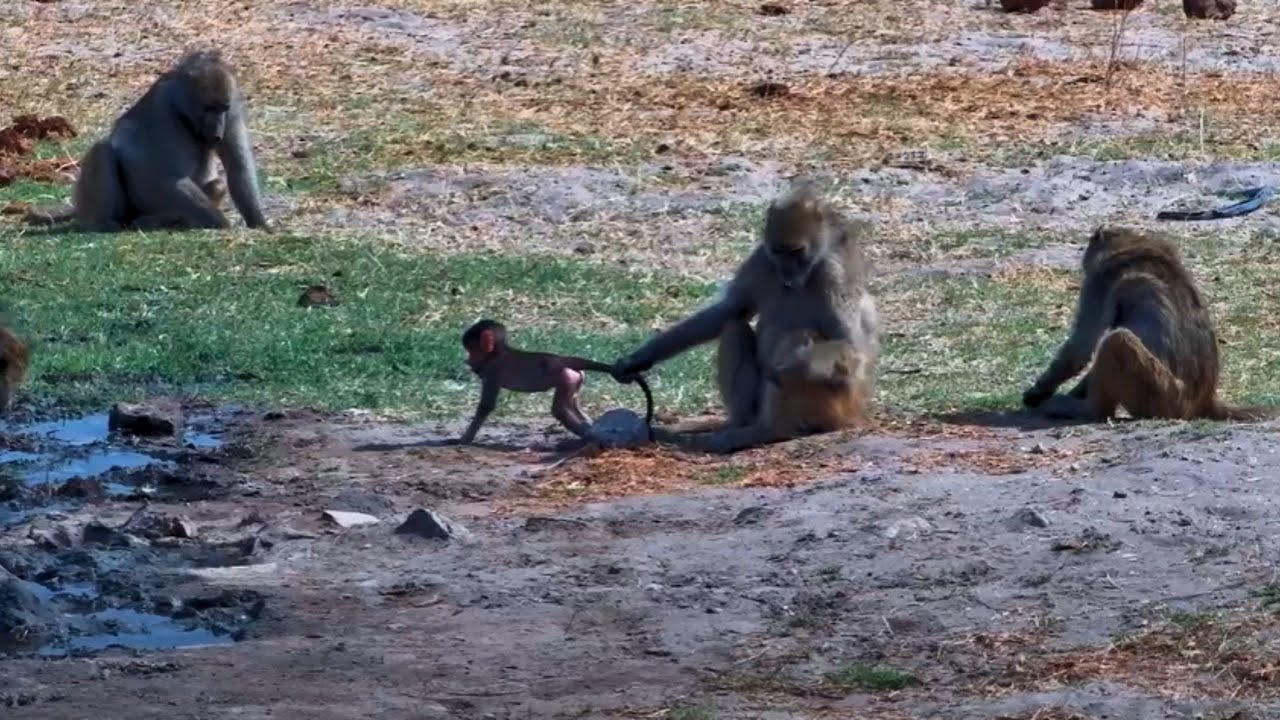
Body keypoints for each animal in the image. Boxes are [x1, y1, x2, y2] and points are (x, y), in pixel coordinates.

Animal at [25, 49, 267, 232]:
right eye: (208, 108)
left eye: (222, 108)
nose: (217, 132)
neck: (184, 108)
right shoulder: (165, 110)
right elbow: (168, 176)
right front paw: (223, 223)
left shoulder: (234, 108)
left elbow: (237, 167)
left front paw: (260, 224)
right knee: (103, 150)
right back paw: (106, 223)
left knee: (217, 185)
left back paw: (162, 219)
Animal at [454, 319, 653, 445]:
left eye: (472, 350)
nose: (468, 360)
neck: (499, 352)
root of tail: (561, 360)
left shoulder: (493, 371)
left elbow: (486, 406)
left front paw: (464, 439)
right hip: (576, 379)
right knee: (572, 405)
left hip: (566, 377)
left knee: (559, 409)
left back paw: (588, 437)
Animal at [613, 182, 878, 453]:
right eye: (779, 252)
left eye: (796, 252)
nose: (787, 274)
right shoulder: (762, 258)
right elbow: (730, 310)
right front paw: (638, 359)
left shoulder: (833, 274)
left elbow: (848, 345)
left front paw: (795, 364)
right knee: (735, 327)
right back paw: (740, 426)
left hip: (837, 406)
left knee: (802, 341)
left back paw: (769, 430)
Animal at [1023, 226, 1269, 422]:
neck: (1132, 245)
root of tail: (1204, 400)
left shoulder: (1098, 283)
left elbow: (1082, 346)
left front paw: (1036, 393)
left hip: (1165, 395)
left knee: (1116, 341)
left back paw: (1086, 410)